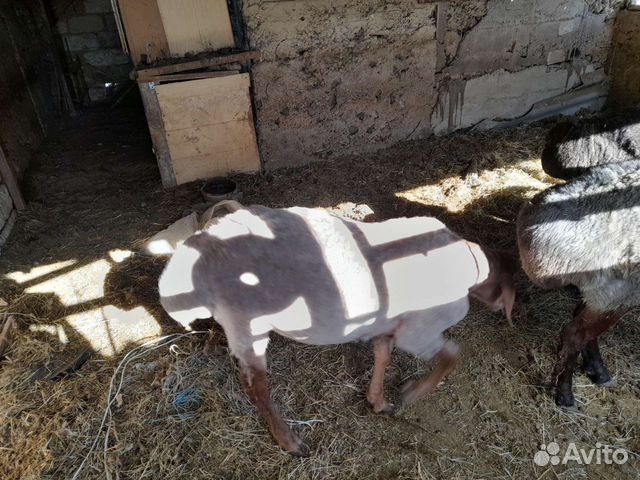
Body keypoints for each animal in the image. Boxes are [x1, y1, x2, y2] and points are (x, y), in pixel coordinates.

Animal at [159, 204, 515, 455]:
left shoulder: (387, 327)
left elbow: (383, 356)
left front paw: (378, 400)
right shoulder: (420, 330)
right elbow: (452, 355)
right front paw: (413, 392)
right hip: (245, 320)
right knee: (255, 385)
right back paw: (290, 441)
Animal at [517, 159, 640, 407]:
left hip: (601, 291)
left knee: (580, 326)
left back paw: (597, 371)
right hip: (617, 292)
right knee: (575, 333)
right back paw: (565, 394)